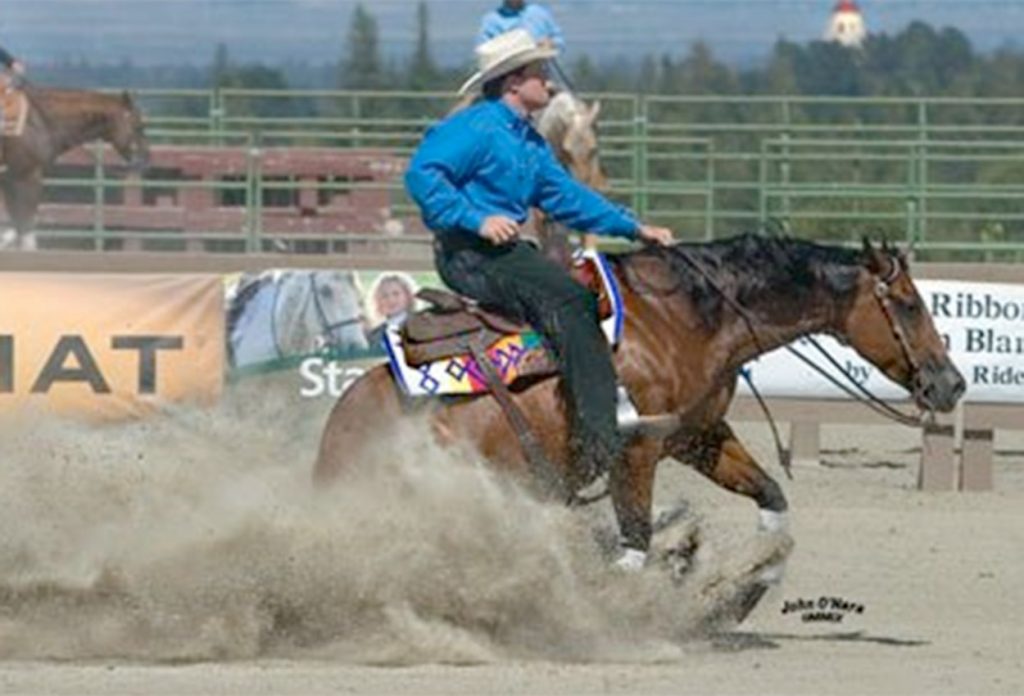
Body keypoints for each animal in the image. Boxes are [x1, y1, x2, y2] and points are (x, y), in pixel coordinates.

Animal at [0, 86, 150, 250]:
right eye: (138, 126)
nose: (145, 158)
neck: (41, 121)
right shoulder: (28, 176)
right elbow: (25, 222)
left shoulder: (11, 179)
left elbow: (19, 223)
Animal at [313, 234, 965, 600]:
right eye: (908, 304)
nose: (951, 383)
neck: (684, 321)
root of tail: (339, 428)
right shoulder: (637, 451)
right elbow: (635, 543)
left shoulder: (697, 436)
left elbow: (771, 499)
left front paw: (751, 584)